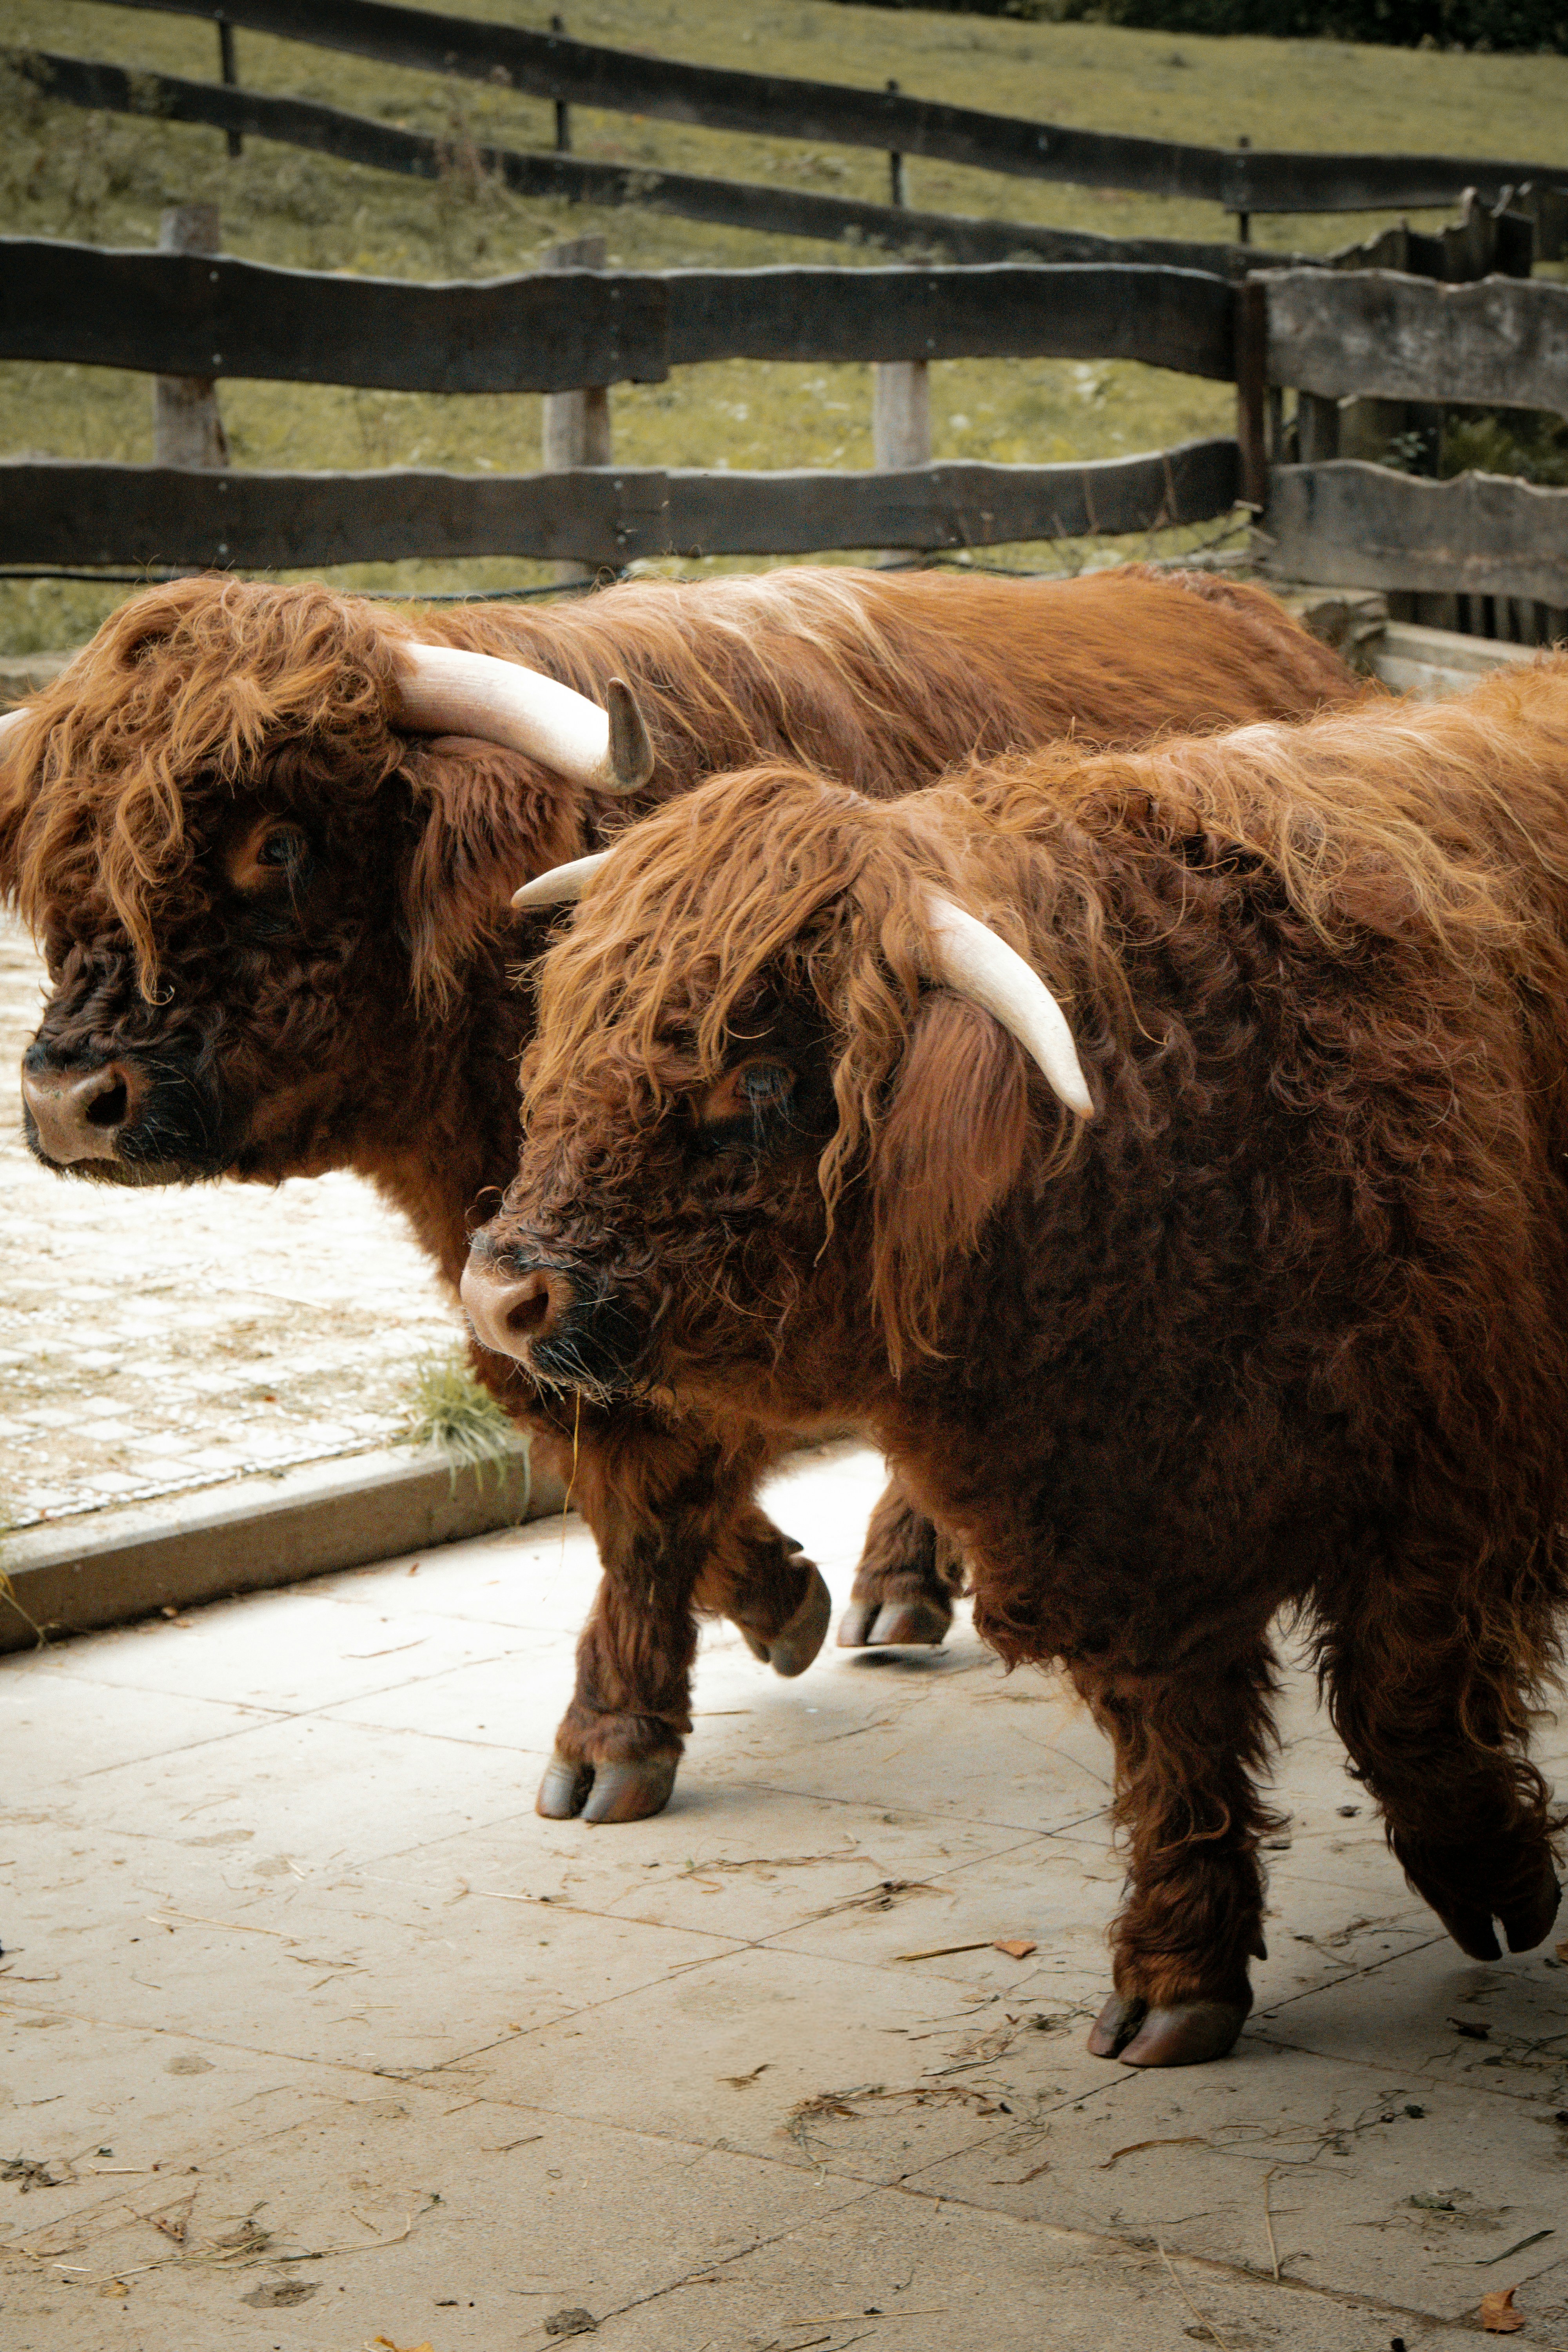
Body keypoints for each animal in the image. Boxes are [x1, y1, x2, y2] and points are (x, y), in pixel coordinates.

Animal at [0, 562, 1362, 1828]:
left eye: (275, 843)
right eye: (62, 853)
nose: (72, 1099)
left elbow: (660, 1479)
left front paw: (621, 1731)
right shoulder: (519, 1273)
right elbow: (606, 1459)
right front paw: (769, 1598)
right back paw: (894, 1586)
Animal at [461, 657, 1568, 2061]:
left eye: (758, 1082)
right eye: (570, 1031)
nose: (502, 1289)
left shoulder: (1457, 1468)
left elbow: (1404, 1692)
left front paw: (1498, 1881)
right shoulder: (1123, 1528)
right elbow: (1177, 1739)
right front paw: (1175, 1977)